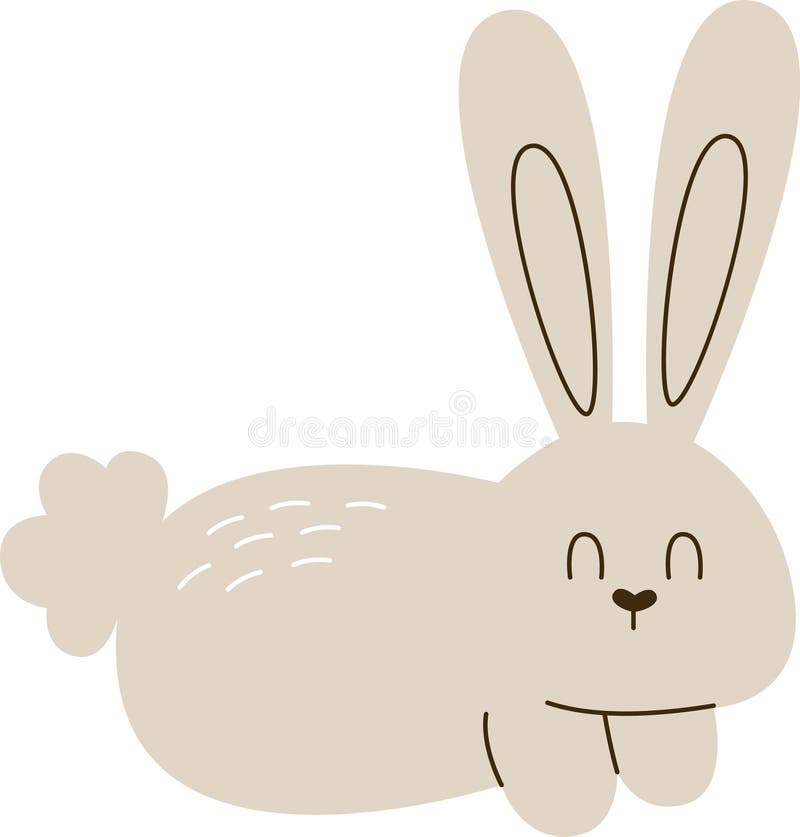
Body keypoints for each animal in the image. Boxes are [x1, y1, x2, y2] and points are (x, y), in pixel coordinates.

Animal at [1, 3, 797, 835]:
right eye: (581, 555)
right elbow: (552, 765)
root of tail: (129, 557)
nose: (636, 599)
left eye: (688, 555)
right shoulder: (519, 714)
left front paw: (671, 783)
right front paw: (575, 806)